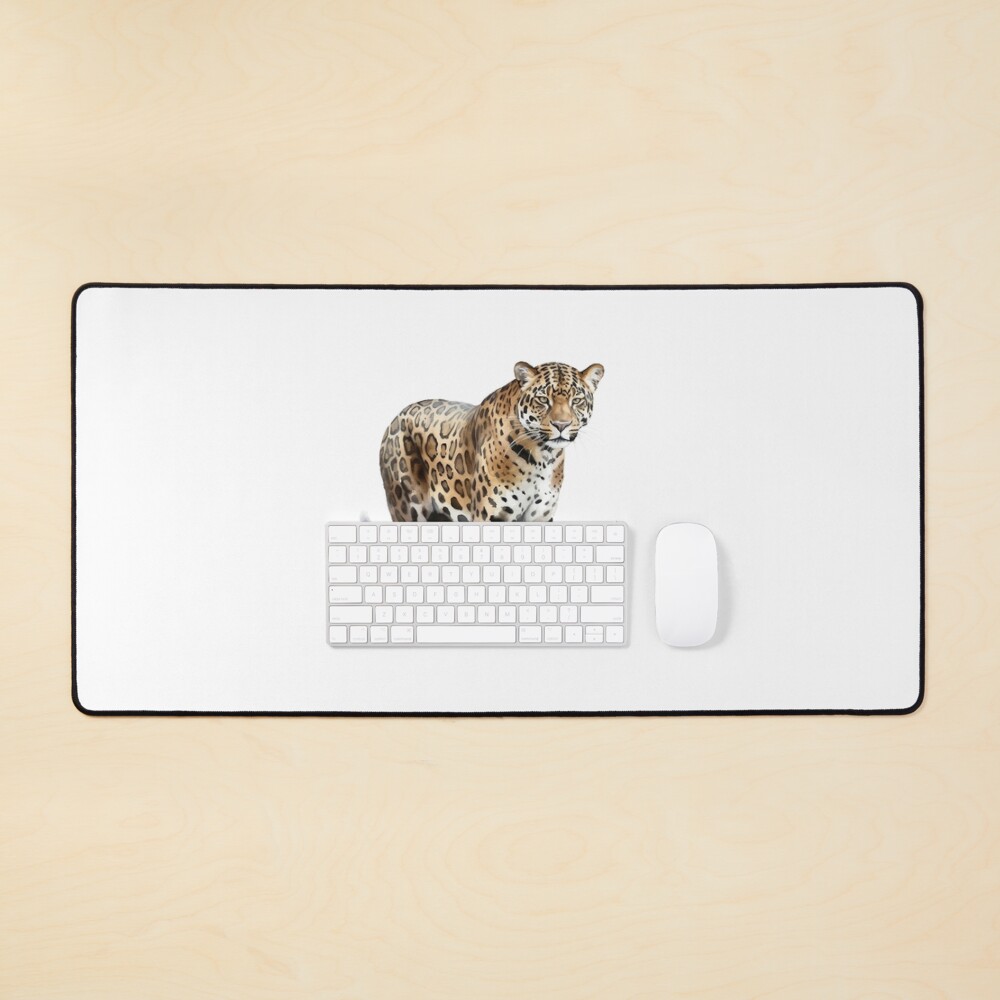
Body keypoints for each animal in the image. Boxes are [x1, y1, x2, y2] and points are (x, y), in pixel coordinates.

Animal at [379, 361, 605, 522]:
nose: (561, 425)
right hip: (408, 506)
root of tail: (398, 415)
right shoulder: (491, 515)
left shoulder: (540, 516)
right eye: (542, 400)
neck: (543, 456)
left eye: (576, 400)